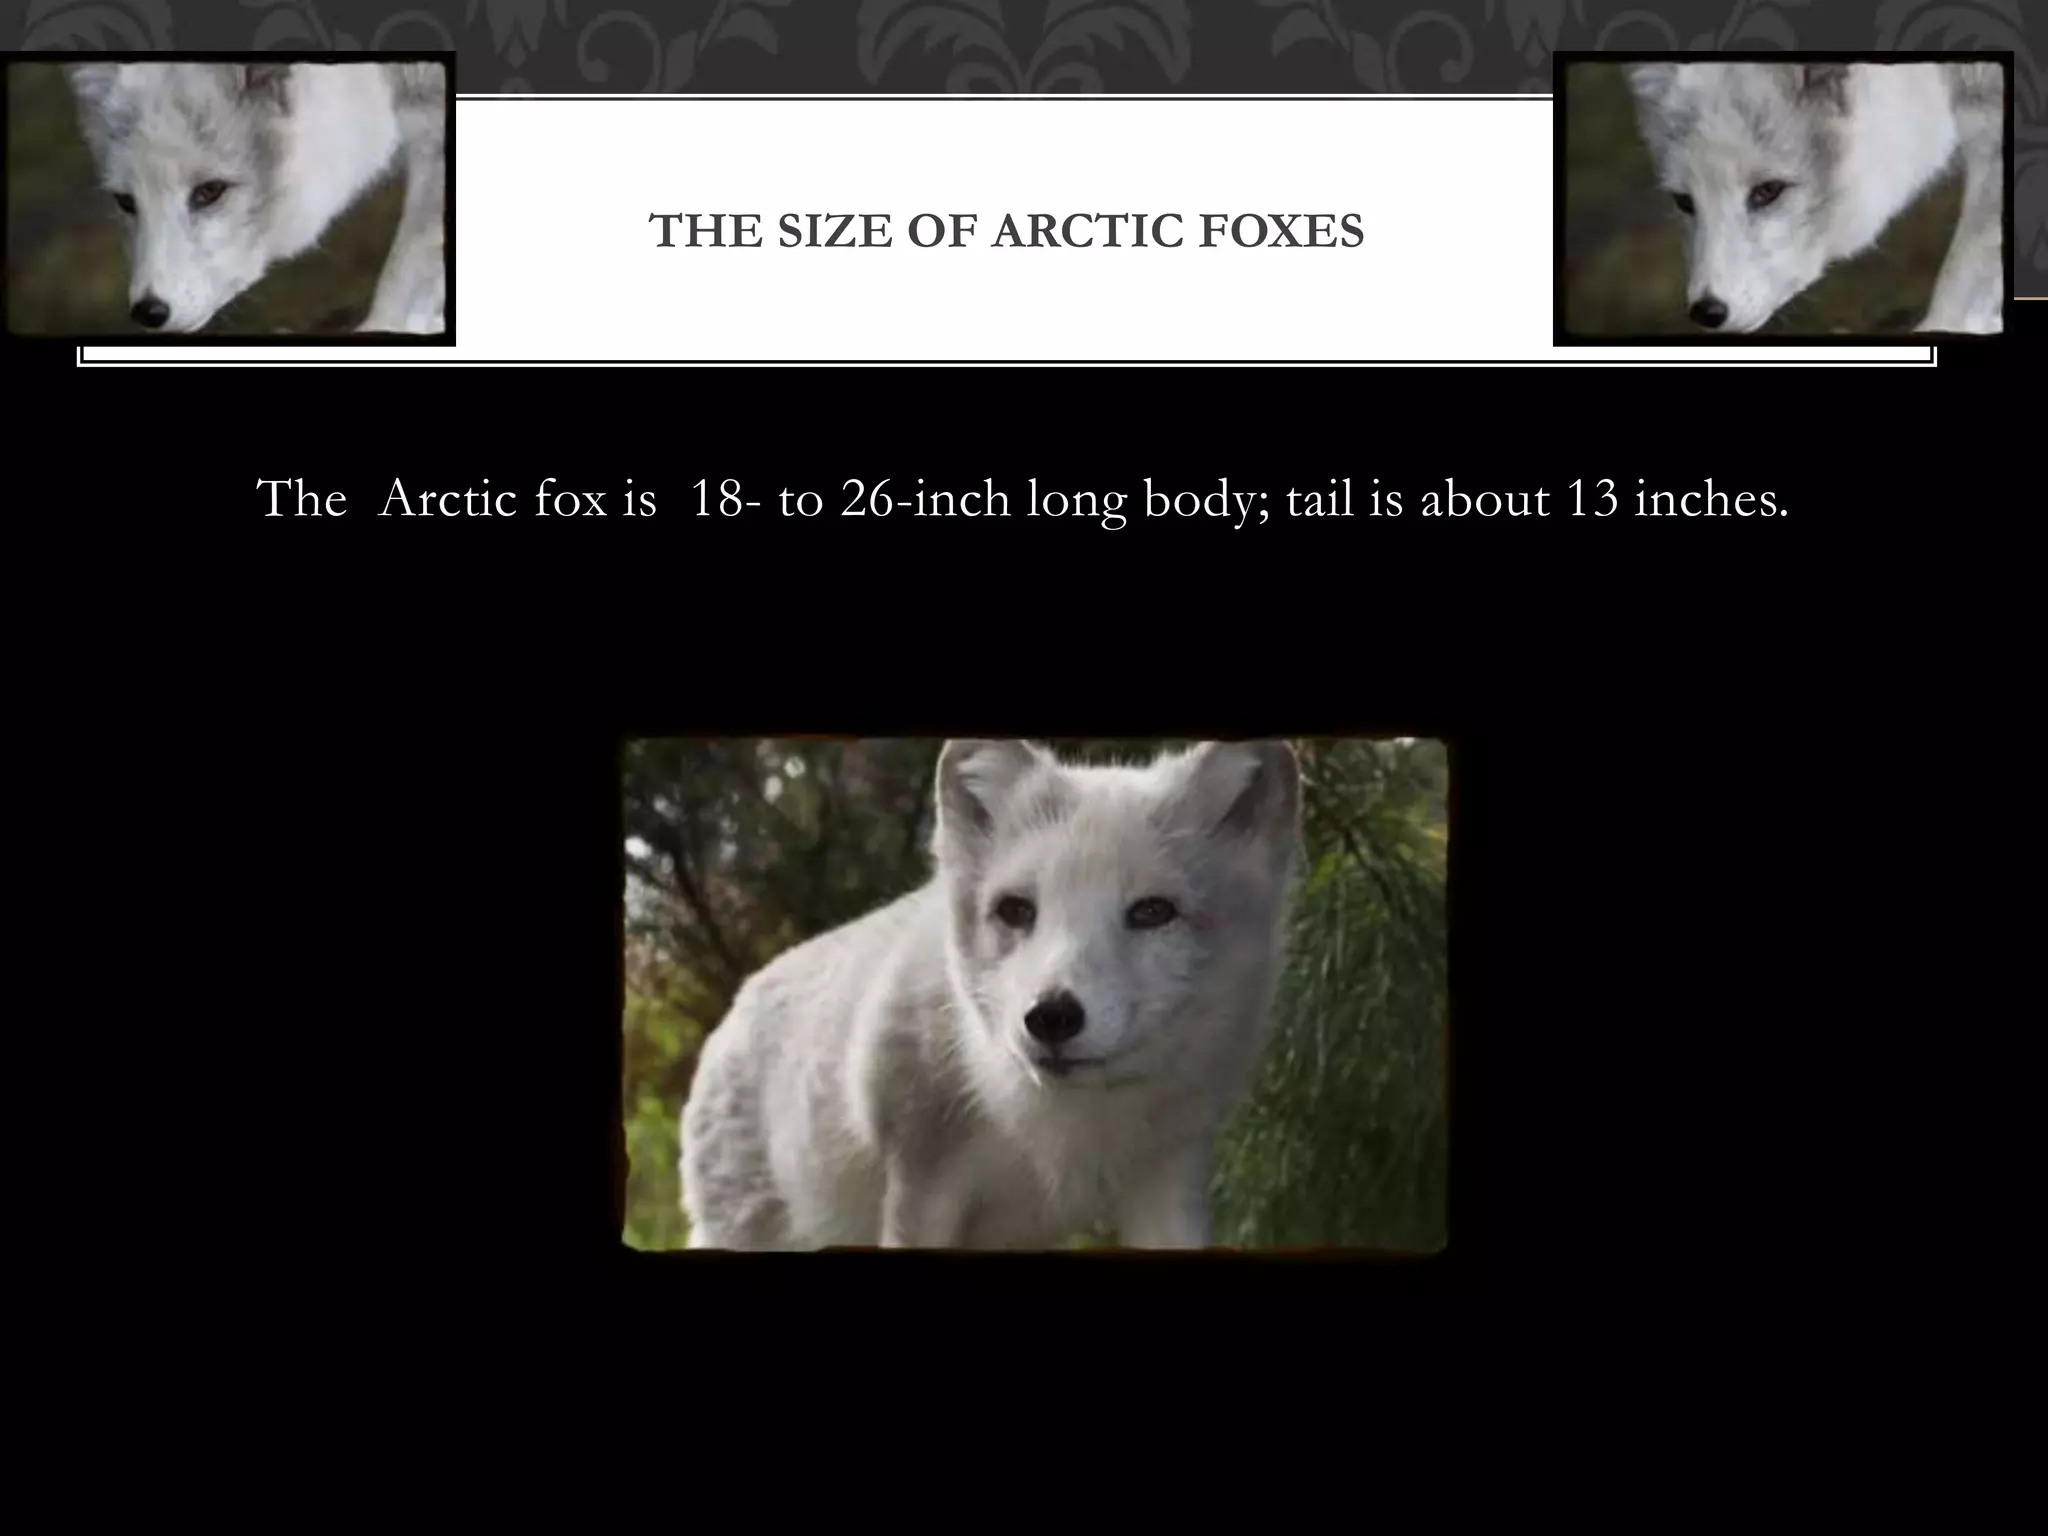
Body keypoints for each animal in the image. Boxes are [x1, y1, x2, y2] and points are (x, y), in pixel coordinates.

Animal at [679, 738, 1302, 1250]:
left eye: (1153, 911)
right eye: (1016, 910)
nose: (1051, 1017)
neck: (1064, 1133)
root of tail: (733, 1011)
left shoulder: (1171, 1180)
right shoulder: (920, 1186)